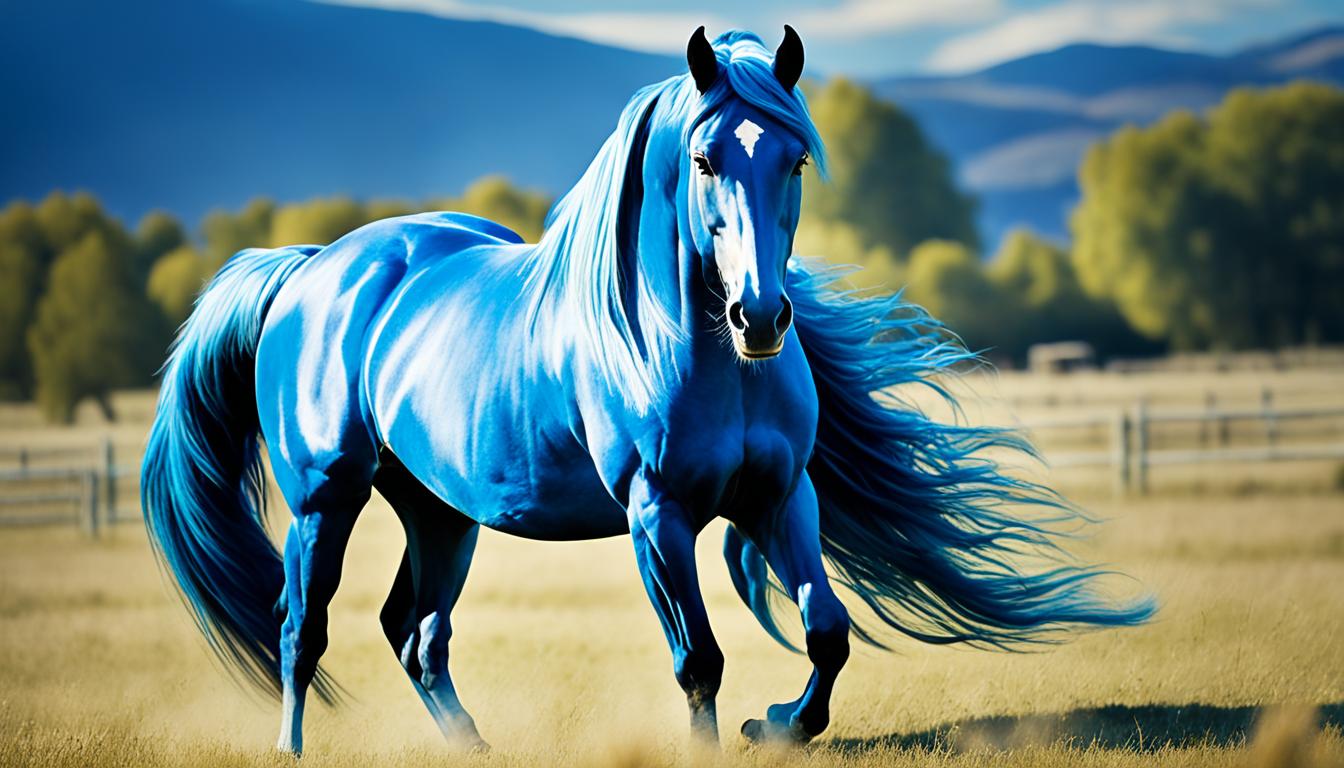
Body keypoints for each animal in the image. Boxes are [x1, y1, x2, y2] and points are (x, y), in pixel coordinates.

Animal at [141, 27, 1154, 755]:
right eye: (705, 161)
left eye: (794, 160)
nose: (760, 316)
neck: (686, 352)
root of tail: (314, 267)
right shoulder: (656, 516)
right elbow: (698, 657)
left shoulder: (780, 498)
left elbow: (826, 633)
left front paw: (776, 726)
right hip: (328, 499)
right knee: (301, 630)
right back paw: (292, 748)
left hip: (440, 512)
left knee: (415, 634)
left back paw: (477, 750)